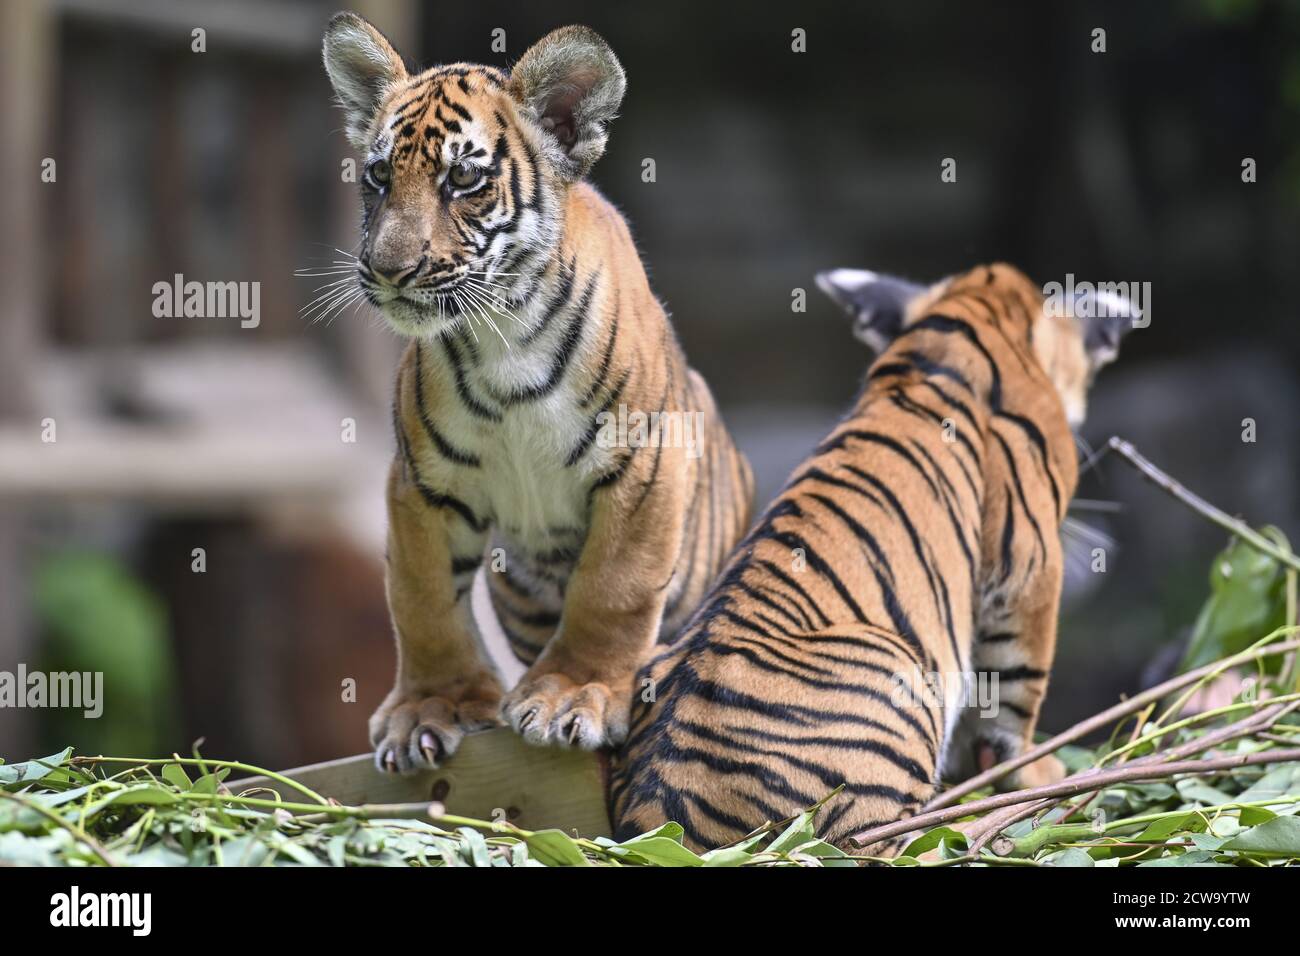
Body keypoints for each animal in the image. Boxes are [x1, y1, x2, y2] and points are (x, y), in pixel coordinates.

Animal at [320, 14, 753, 772]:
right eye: (377, 174)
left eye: (463, 178)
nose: (388, 268)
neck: (503, 338)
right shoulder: (421, 482)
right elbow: (422, 599)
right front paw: (429, 708)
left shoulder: (645, 466)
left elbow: (614, 588)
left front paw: (573, 694)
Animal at [609, 262, 1128, 852]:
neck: (970, 312)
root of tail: (658, 813)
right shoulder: (1028, 564)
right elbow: (1017, 689)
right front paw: (1039, 774)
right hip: (901, 681)